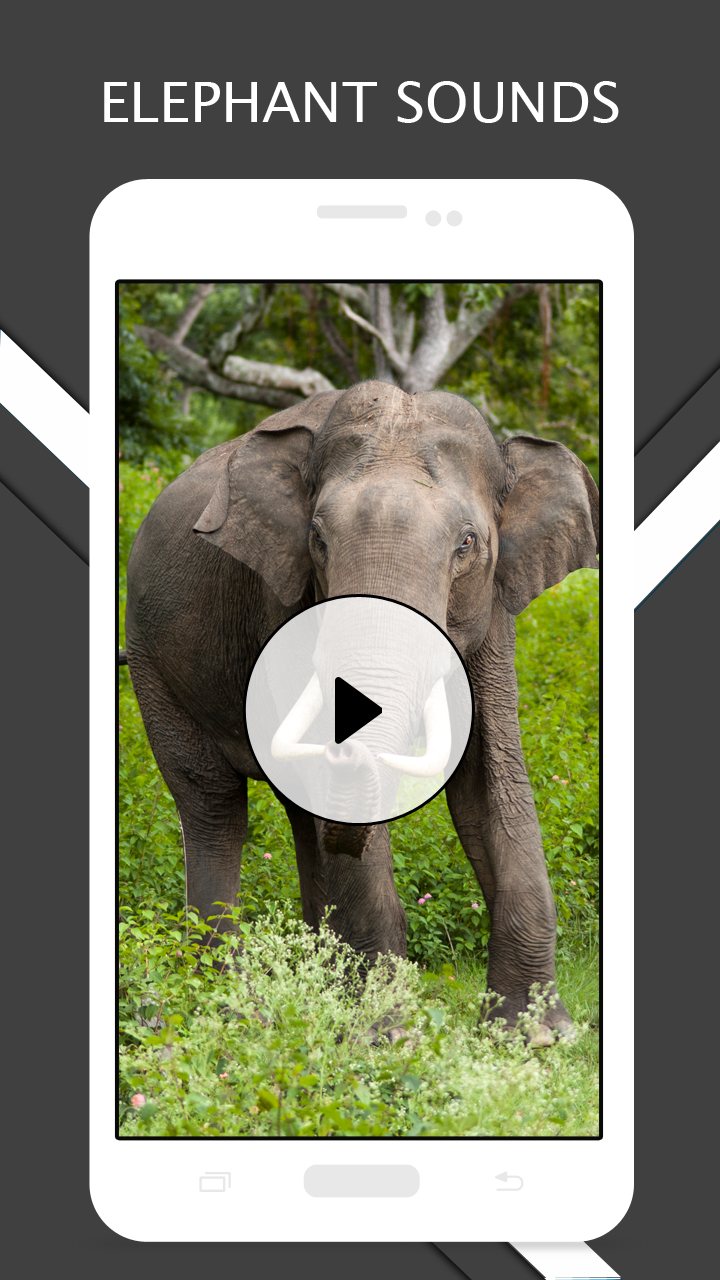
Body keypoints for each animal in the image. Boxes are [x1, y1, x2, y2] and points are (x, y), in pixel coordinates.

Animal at [124, 380, 599, 1041]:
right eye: (319, 540)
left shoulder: (493, 610)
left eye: (467, 543)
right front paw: (387, 1035)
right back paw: (230, 1002)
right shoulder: (279, 597)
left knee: (296, 812)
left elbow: (488, 777)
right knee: (213, 803)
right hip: (151, 662)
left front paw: (535, 1034)